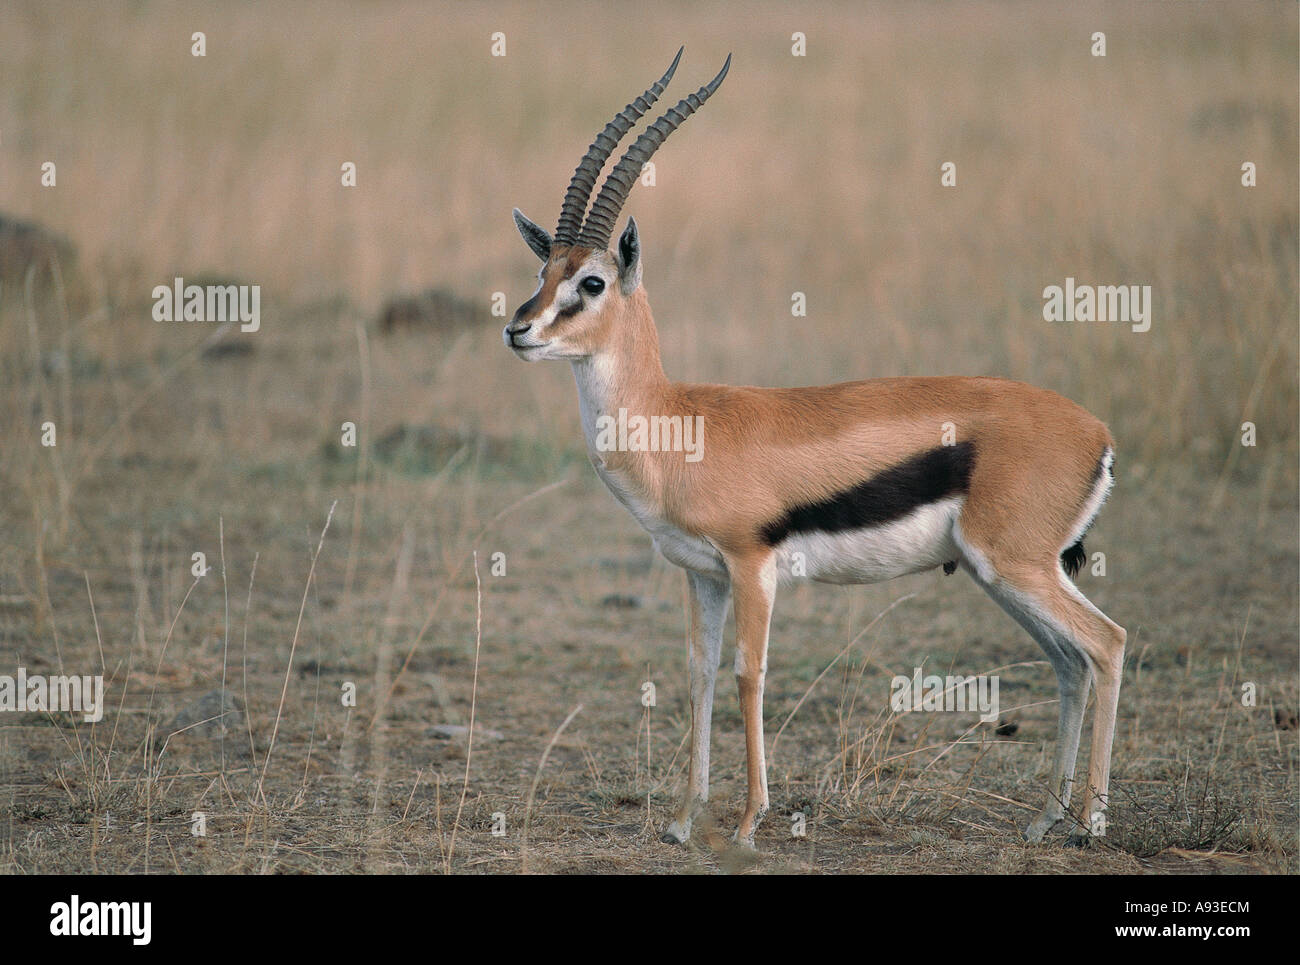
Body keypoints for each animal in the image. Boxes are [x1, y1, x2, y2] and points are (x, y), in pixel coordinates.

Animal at [504, 49, 1126, 849]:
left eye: (590, 281)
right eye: (542, 272)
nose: (518, 330)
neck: (677, 420)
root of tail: (1096, 433)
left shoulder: (752, 565)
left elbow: (749, 673)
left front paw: (746, 823)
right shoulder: (700, 573)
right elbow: (700, 673)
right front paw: (682, 821)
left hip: (1015, 566)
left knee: (1106, 644)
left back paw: (1093, 823)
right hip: (1002, 573)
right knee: (1068, 661)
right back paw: (1044, 819)